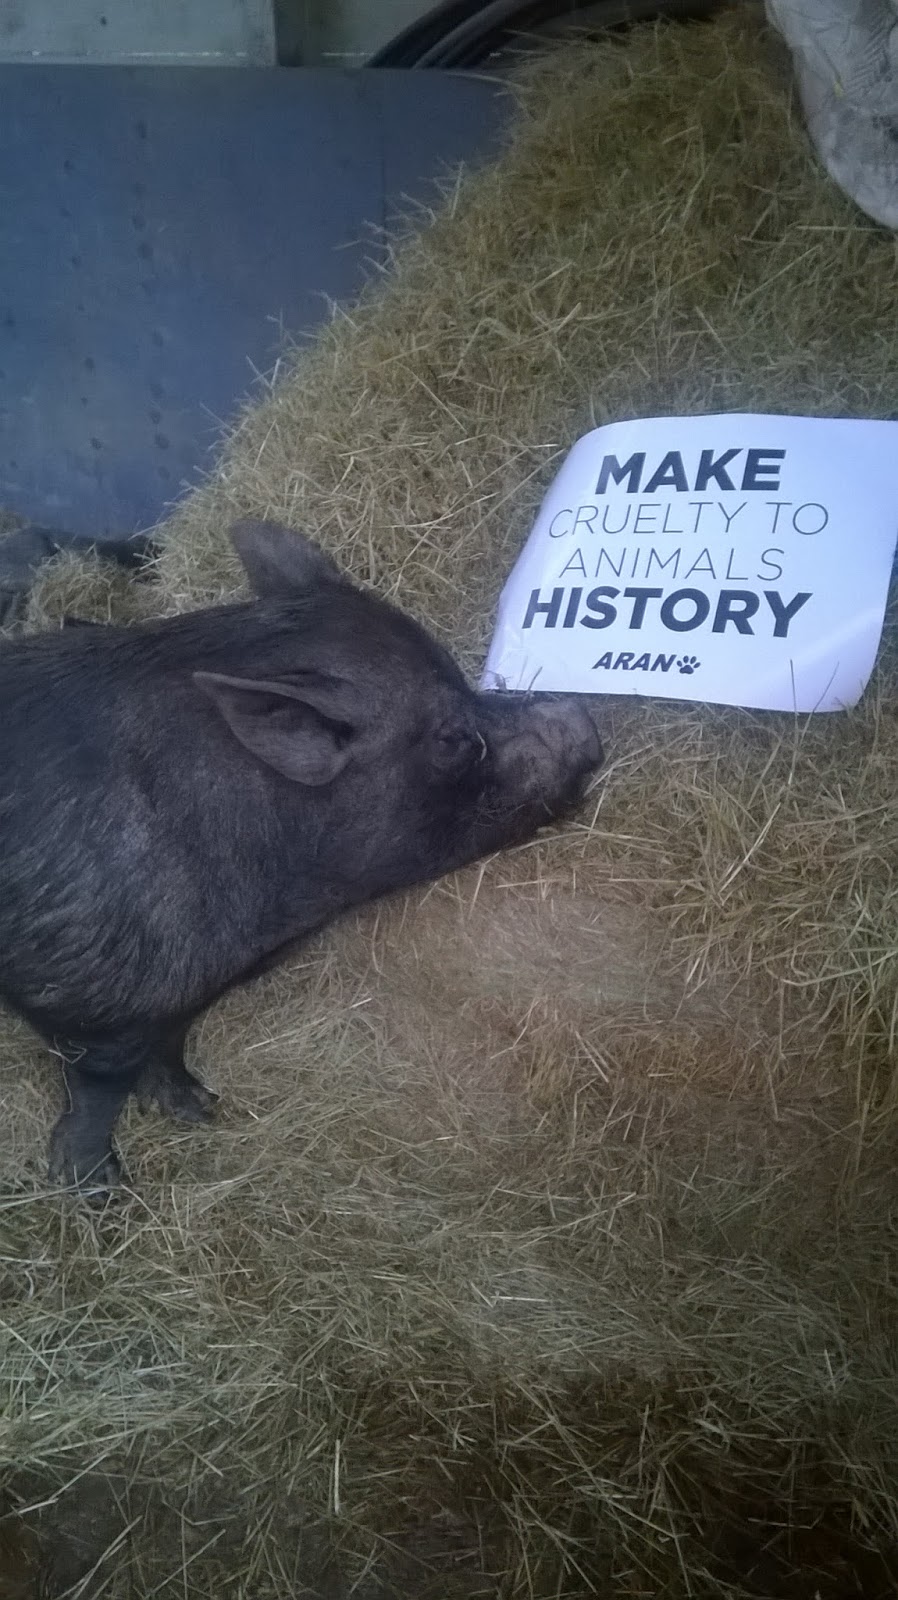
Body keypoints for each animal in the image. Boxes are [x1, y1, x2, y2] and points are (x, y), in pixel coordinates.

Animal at [0, 520, 602, 1199]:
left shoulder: (184, 996)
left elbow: (171, 1046)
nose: (583, 718)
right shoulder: (95, 1002)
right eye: (451, 739)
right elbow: (98, 1090)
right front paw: (101, 1190)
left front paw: (204, 1108)